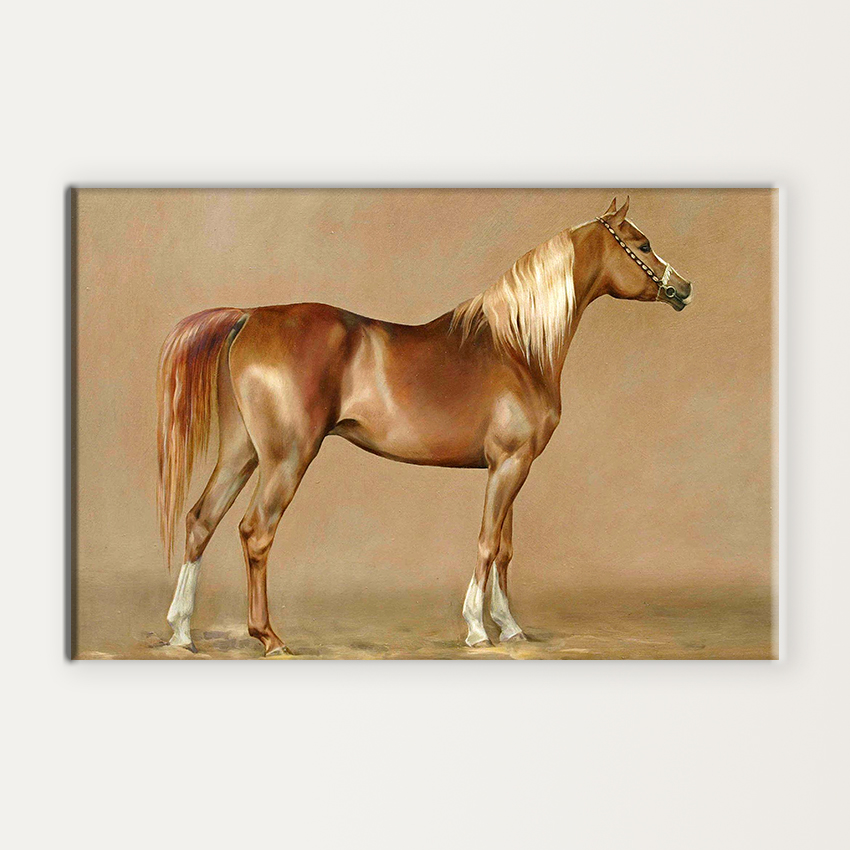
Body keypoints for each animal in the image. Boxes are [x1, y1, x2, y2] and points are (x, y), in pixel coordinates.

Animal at [157, 197, 693, 655]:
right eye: (643, 244)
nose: (684, 289)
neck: (518, 347)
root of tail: (247, 317)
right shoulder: (510, 463)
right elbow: (487, 542)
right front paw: (477, 628)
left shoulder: (511, 465)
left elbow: (505, 548)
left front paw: (510, 626)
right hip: (286, 458)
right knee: (255, 531)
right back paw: (268, 637)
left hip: (241, 452)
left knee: (201, 519)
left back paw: (182, 632)